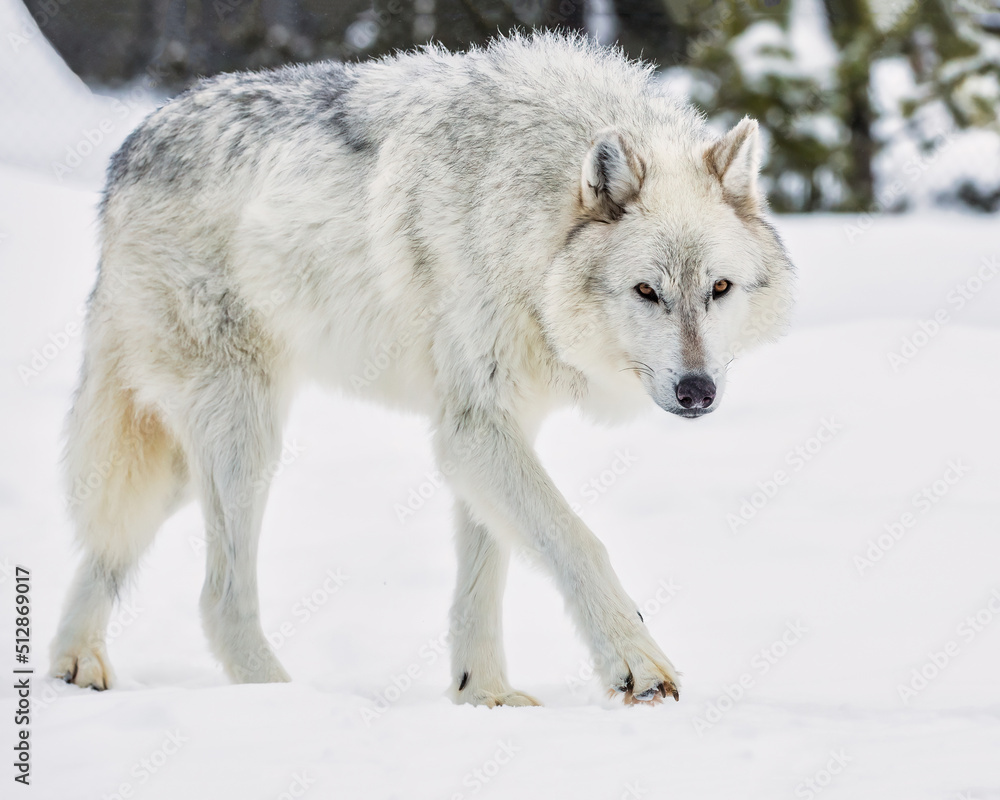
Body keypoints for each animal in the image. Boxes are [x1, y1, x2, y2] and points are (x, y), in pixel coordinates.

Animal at [50, 33, 793, 706]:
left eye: (719, 288)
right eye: (646, 291)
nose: (697, 391)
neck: (524, 220)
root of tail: (133, 145)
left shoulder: (488, 430)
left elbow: (482, 581)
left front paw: (484, 696)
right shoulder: (477, 428)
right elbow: (577, 541)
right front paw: (635, 665)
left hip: (180, 461)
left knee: (109, 543)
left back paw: (74, 665)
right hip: (244, 435)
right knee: (219, 596)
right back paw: (288, 703)